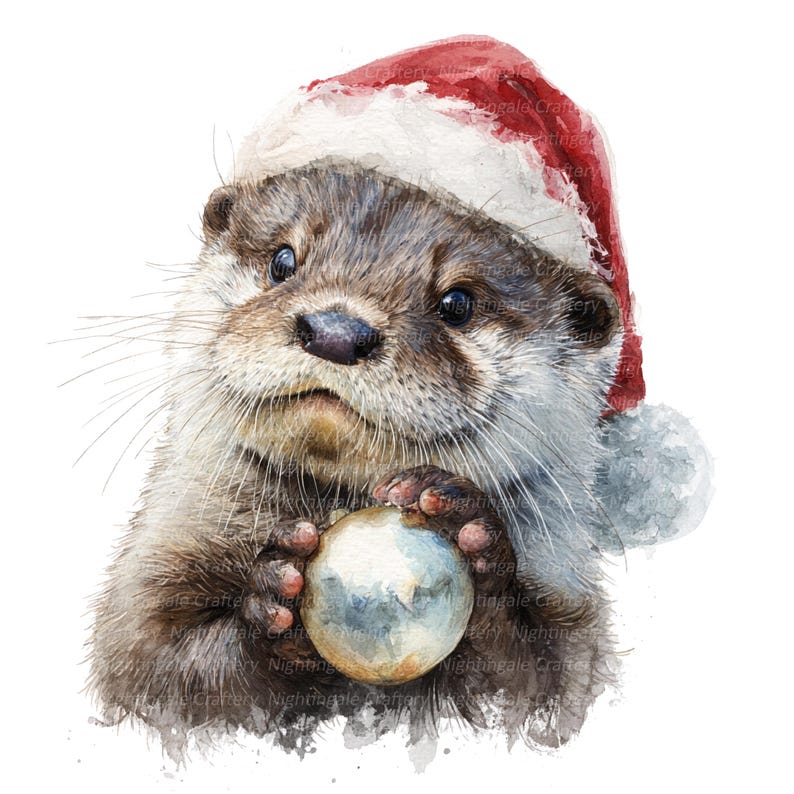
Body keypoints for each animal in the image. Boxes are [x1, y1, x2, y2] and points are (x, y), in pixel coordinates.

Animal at [88, 162, 624, 753]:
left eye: (457, 303)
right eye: (282, 261)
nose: (335, 332)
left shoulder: (571, 623)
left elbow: (535, 682)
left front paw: (466, 527)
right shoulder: (145, 597)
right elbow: (168, 675)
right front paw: (274, 597)